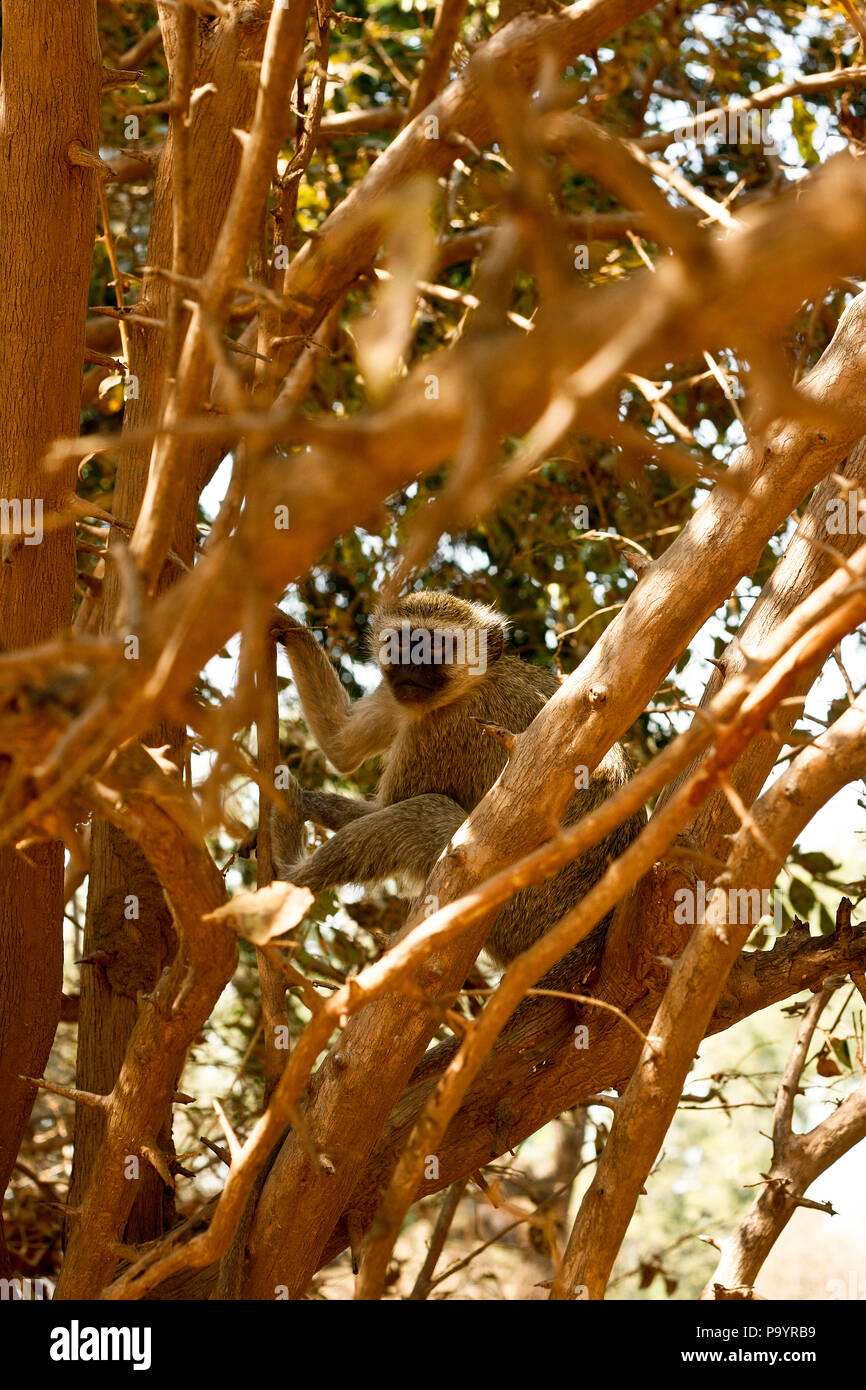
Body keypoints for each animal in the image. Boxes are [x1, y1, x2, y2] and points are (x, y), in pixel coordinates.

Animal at [269, 590, 645, 974]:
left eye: (435, 645)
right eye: (399, 641)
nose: (410, 665)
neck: (471, 684)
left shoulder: (445, 731)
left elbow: (386, 804)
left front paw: (300, 804)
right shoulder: (398, 696)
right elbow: (340, 743)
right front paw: (285, 624)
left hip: (511, 907)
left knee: (428, 814)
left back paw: (289, 877)